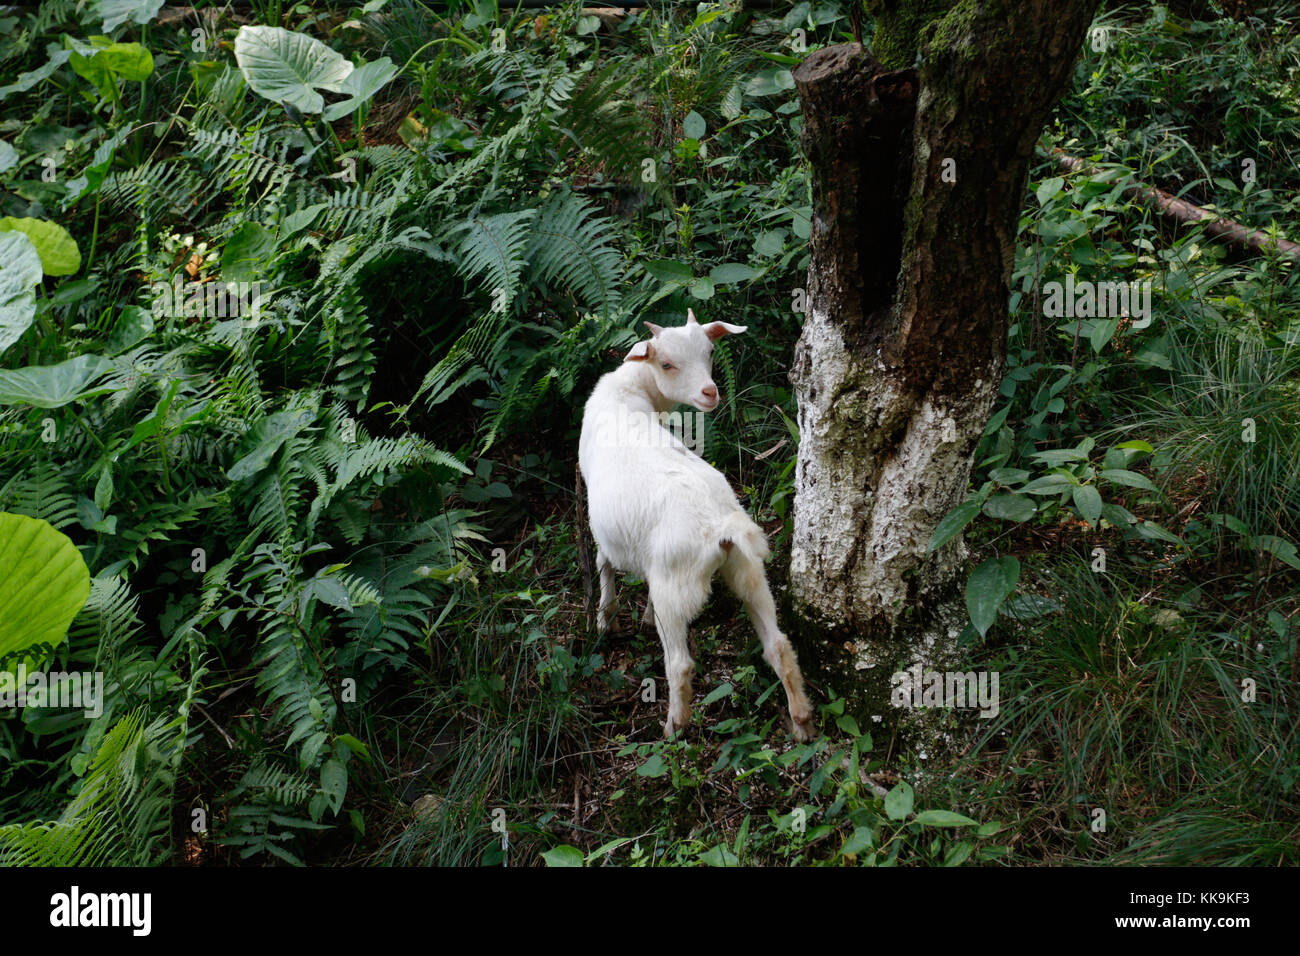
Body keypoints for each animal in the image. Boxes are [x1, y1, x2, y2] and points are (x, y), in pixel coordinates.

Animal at [578, 309, 815, 740]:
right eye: (667, 364)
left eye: (709, 352)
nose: (710, 392)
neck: (629, 393)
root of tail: (721, 526)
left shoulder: (601, 526)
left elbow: (604, 564)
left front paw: (606, 618)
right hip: (748, 571)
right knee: (778, 644)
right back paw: (802, 721)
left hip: (676, 588)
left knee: (680, 663)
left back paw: (674, 726)